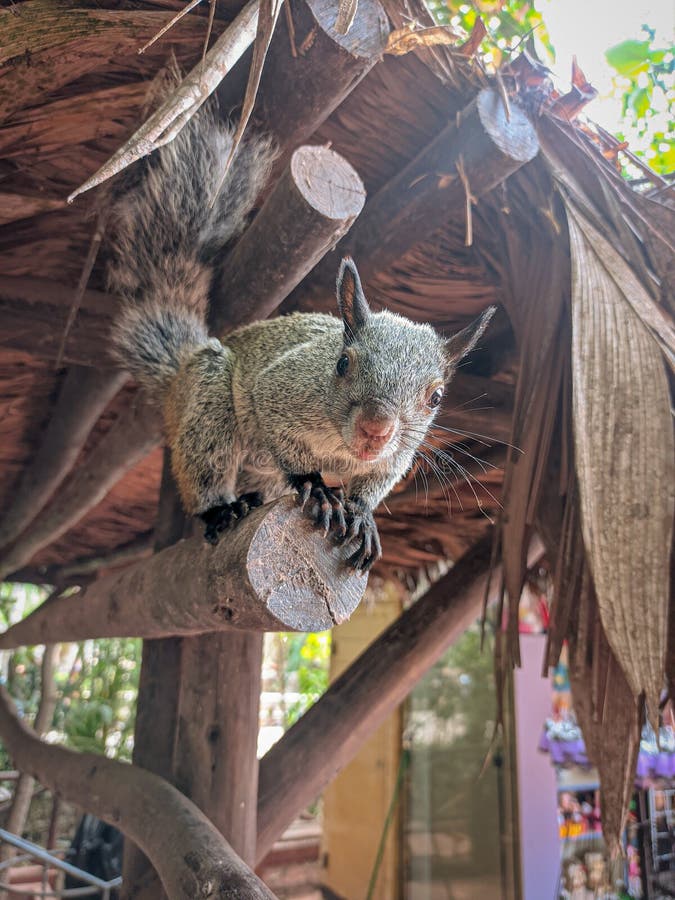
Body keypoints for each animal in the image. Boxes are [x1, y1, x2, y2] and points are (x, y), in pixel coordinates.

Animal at [107, 112, 496, 570]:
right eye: (342, 364)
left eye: (435, 397)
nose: (377, 429)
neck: (341, 450)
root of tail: (179, 373)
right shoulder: (281, 390)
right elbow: (284, 437)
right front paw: (317, 487)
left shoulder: (399, 452)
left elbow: (377, 479)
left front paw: (361, 512)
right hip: (207, 401)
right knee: (206, 466)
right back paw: (224, 509)